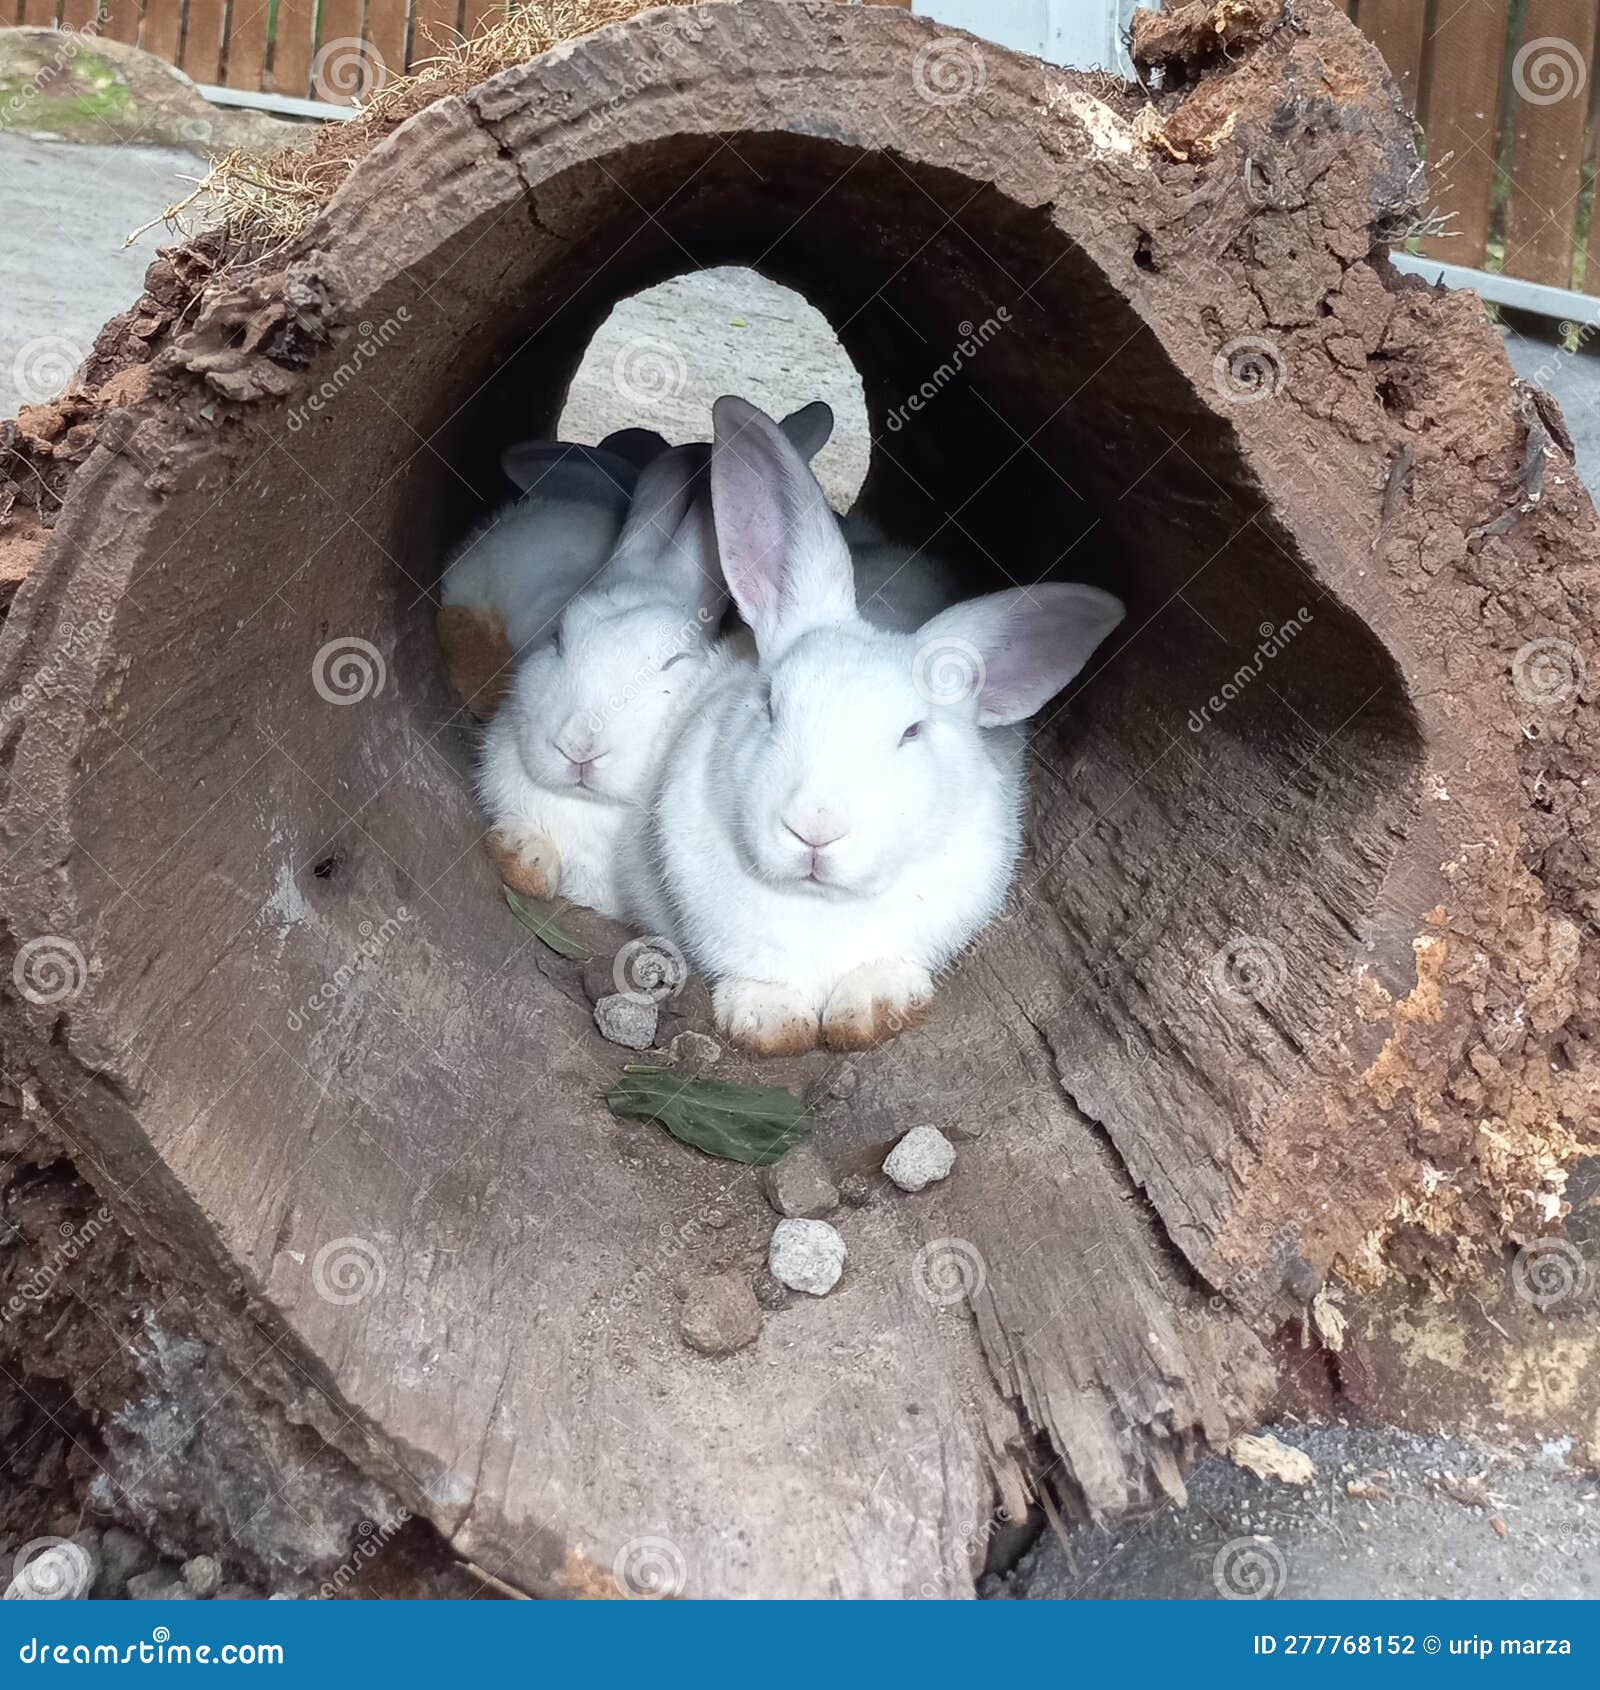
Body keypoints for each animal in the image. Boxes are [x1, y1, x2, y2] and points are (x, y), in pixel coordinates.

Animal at [628, 396, 1125, 1056]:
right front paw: (768, 1023)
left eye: (911, 732)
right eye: (770, 703)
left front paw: (871, 1011)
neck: (820, 907)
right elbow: (759, 979)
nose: (814, 828)